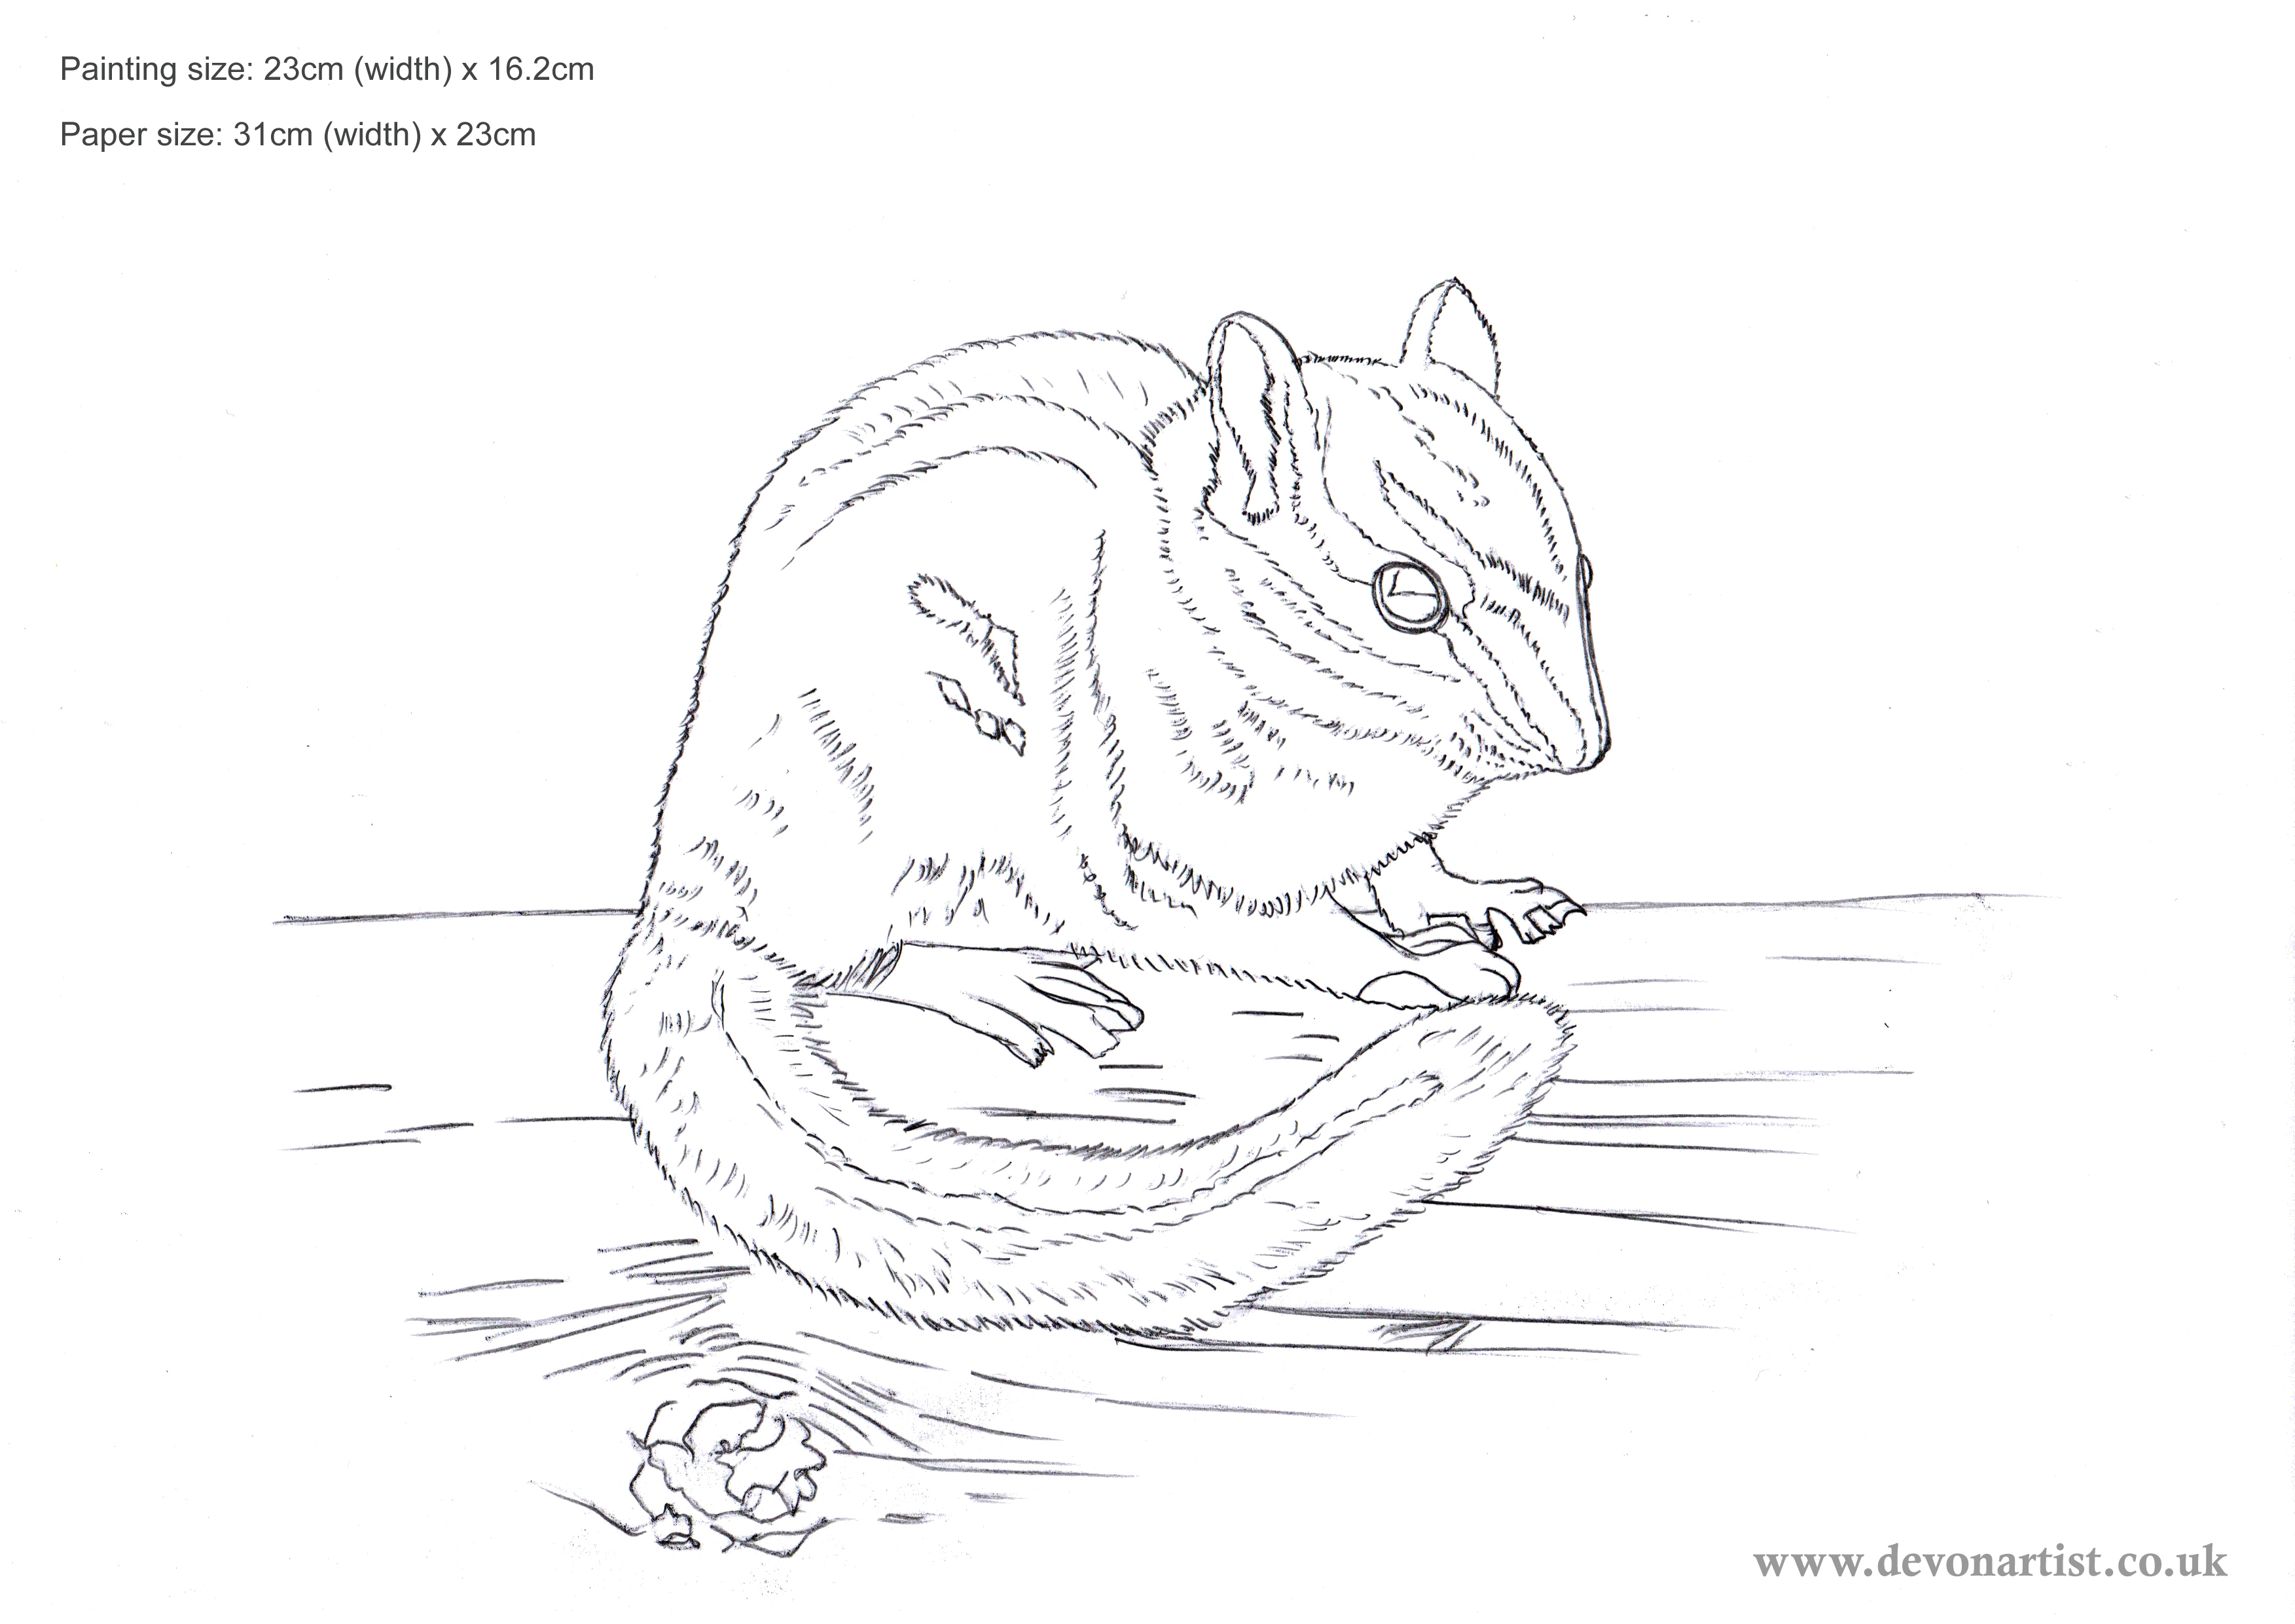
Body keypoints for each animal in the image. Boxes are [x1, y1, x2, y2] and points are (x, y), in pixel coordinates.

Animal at [603, 280, 1610, 1332]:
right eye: (1407, 597)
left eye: (1582, 572)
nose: (1586, 750)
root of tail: (687, 900)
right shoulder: (1153, 853)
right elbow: (1296, 933)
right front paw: (1421, 971)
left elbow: (1410, 867)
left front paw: (1477, 901)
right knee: (859, 953)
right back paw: (994, 979)